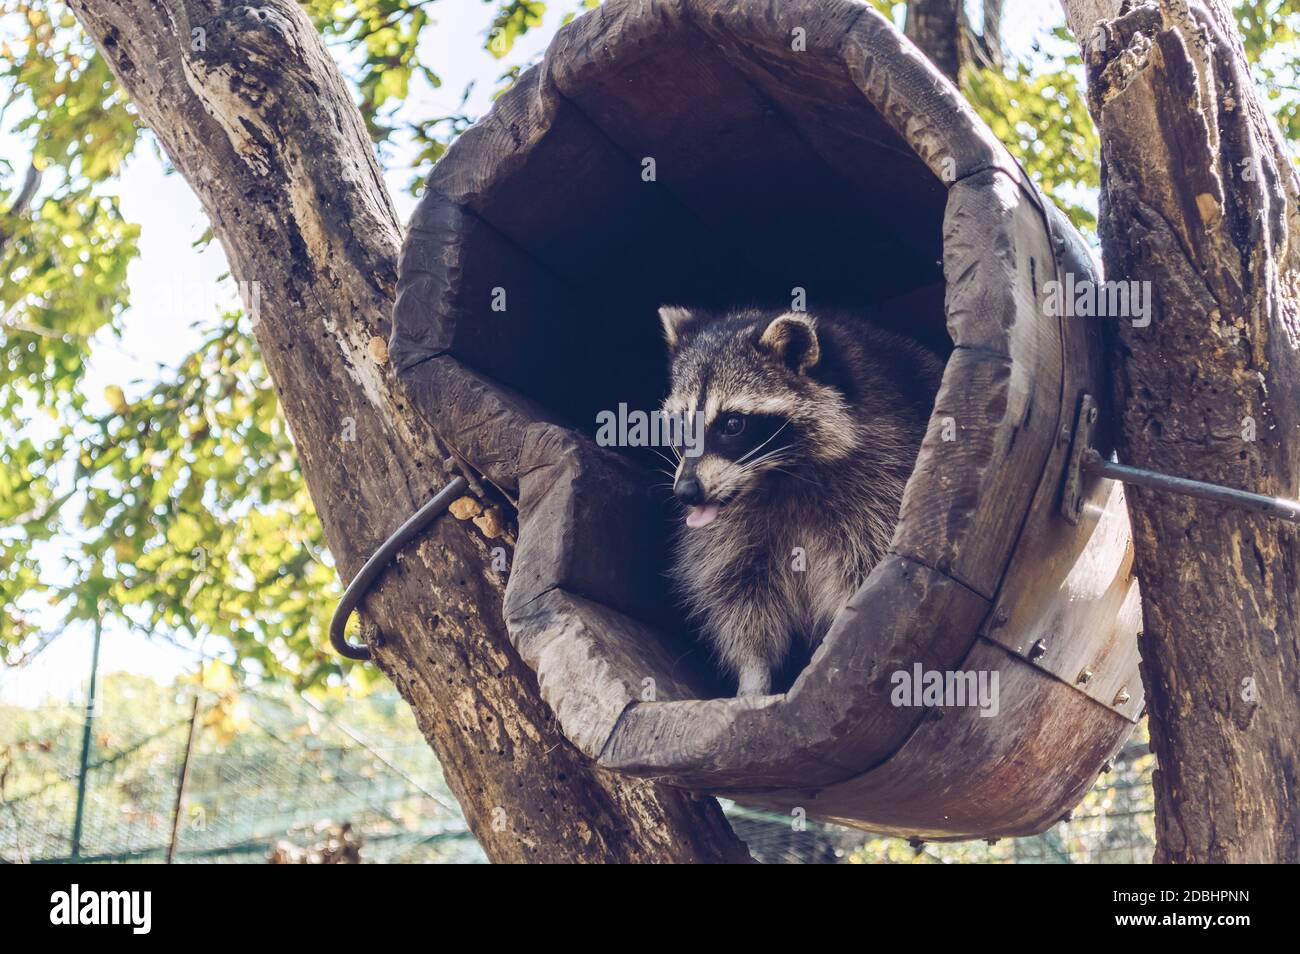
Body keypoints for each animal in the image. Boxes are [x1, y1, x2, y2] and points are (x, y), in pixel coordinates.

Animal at [660, 305, 944, 696]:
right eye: (681, 424)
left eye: (732, 424)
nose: (687, 492)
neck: (778, 476)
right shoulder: (731, 532)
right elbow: (737, 594)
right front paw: (753, 674)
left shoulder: (881, 479)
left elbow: (862, 576)